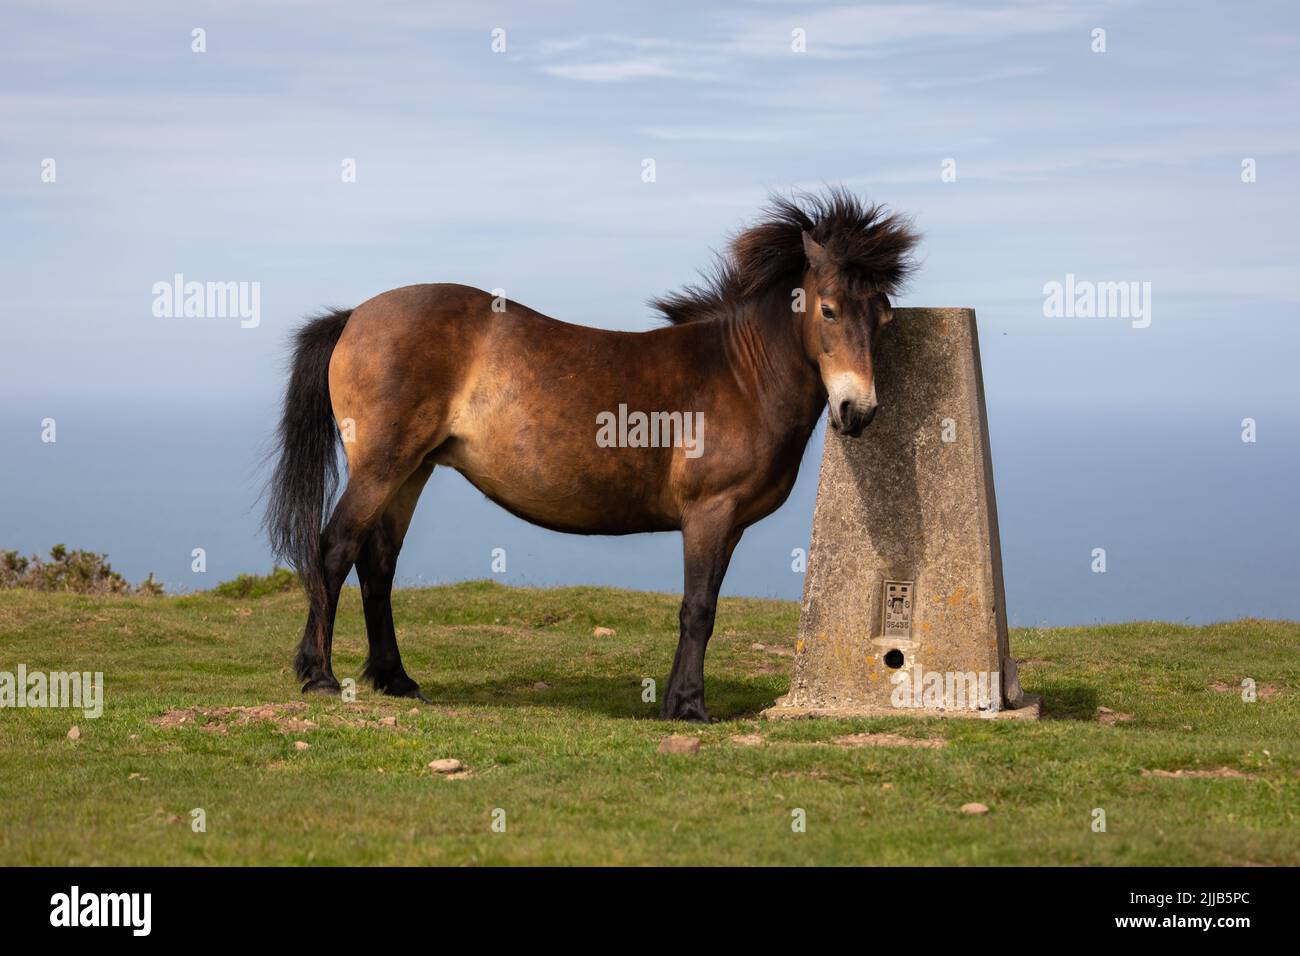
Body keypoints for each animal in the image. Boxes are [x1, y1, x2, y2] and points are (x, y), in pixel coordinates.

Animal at [265, 188, 918, 722]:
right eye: (829, 308)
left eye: (884, 315)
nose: (858, 410)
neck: (740, 372)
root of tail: (355, 315)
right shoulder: (710, 513)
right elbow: (699, 608)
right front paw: (688, 706)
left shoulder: (728, 525)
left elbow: (702, 607)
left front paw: (679, 699)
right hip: (381, 468)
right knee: (334, 549)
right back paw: (319, 675)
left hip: (411, 471)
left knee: (377, 564)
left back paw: (396, 680)